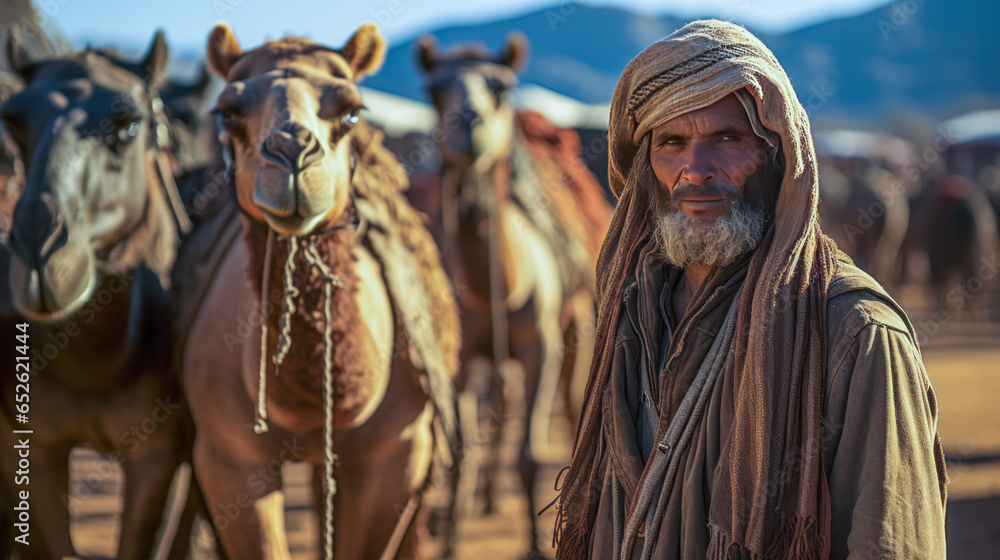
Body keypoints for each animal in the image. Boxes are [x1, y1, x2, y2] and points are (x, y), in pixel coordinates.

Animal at [0, 30, 195, 559]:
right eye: (14, 122)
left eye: (128, 124)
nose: (40, 255)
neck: (98, 365)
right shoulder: (33, 446)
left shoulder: (159, 455)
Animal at [416, 35, 611, 557]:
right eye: (433, 90)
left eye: (500, 86)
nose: (468, 125)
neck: (495, 291)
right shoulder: (459, 355)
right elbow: (459, 452)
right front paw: (449, 542)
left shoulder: (539, 343)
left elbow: (529, 454)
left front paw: (537, 543)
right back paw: (479, 503)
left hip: (577, 316)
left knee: (570, 399)